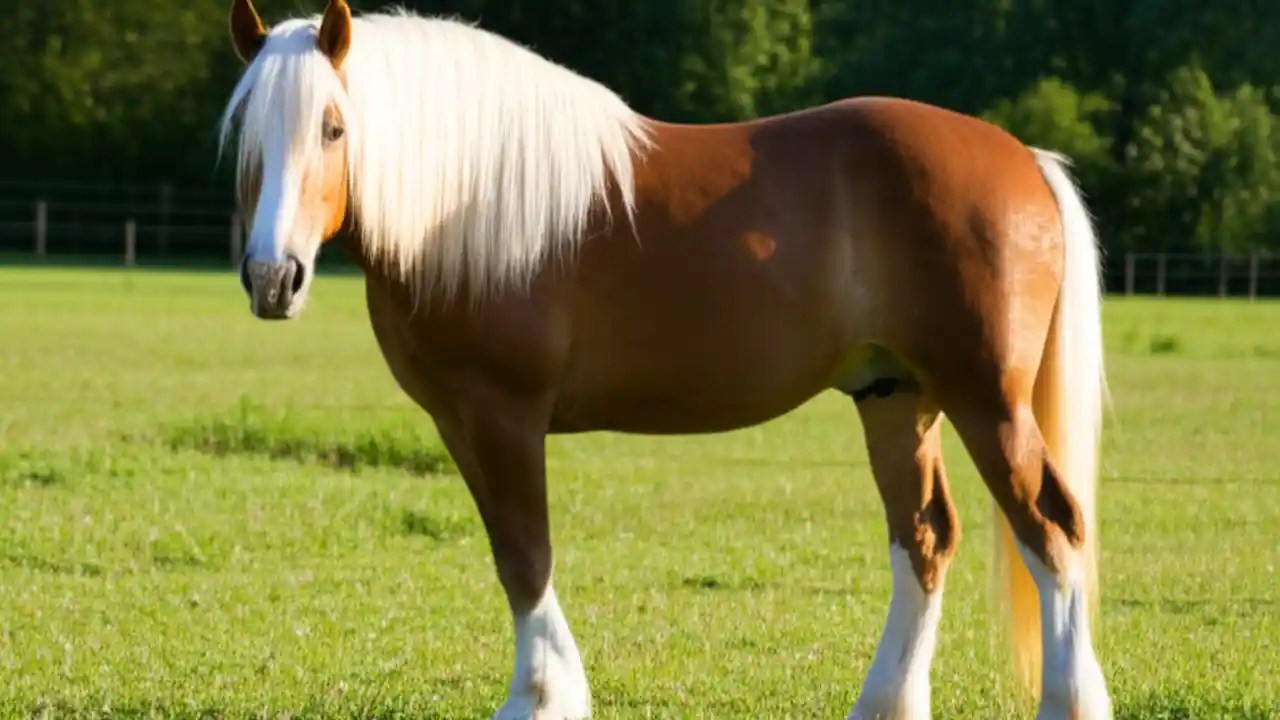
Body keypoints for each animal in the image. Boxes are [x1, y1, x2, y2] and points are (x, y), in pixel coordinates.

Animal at [219, 1, 1113, 718]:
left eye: (333, 128)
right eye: (247, 138)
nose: (273, 278)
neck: (466, 205)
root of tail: (1025, 159)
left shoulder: (505, 416)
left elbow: (526, 556)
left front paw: (540, 698)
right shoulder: (458, 421)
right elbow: (510, 553)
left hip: (986, 401)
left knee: (1053, 530)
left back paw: (1067, 701)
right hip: (896, 396)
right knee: (925, 538)